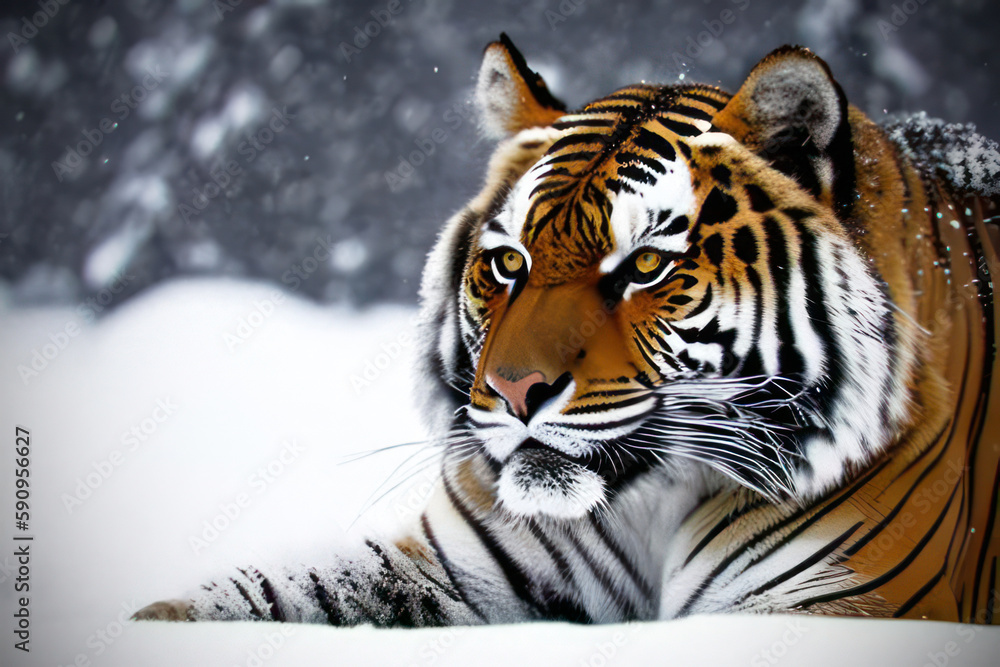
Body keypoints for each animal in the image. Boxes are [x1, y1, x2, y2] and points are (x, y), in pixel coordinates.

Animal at [135, 35, 1000, 626]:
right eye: (509, 262)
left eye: (645, 264)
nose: (514, 390)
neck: (653, 500)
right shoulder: (451, 570)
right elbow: (270, 597)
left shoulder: (835, 601)